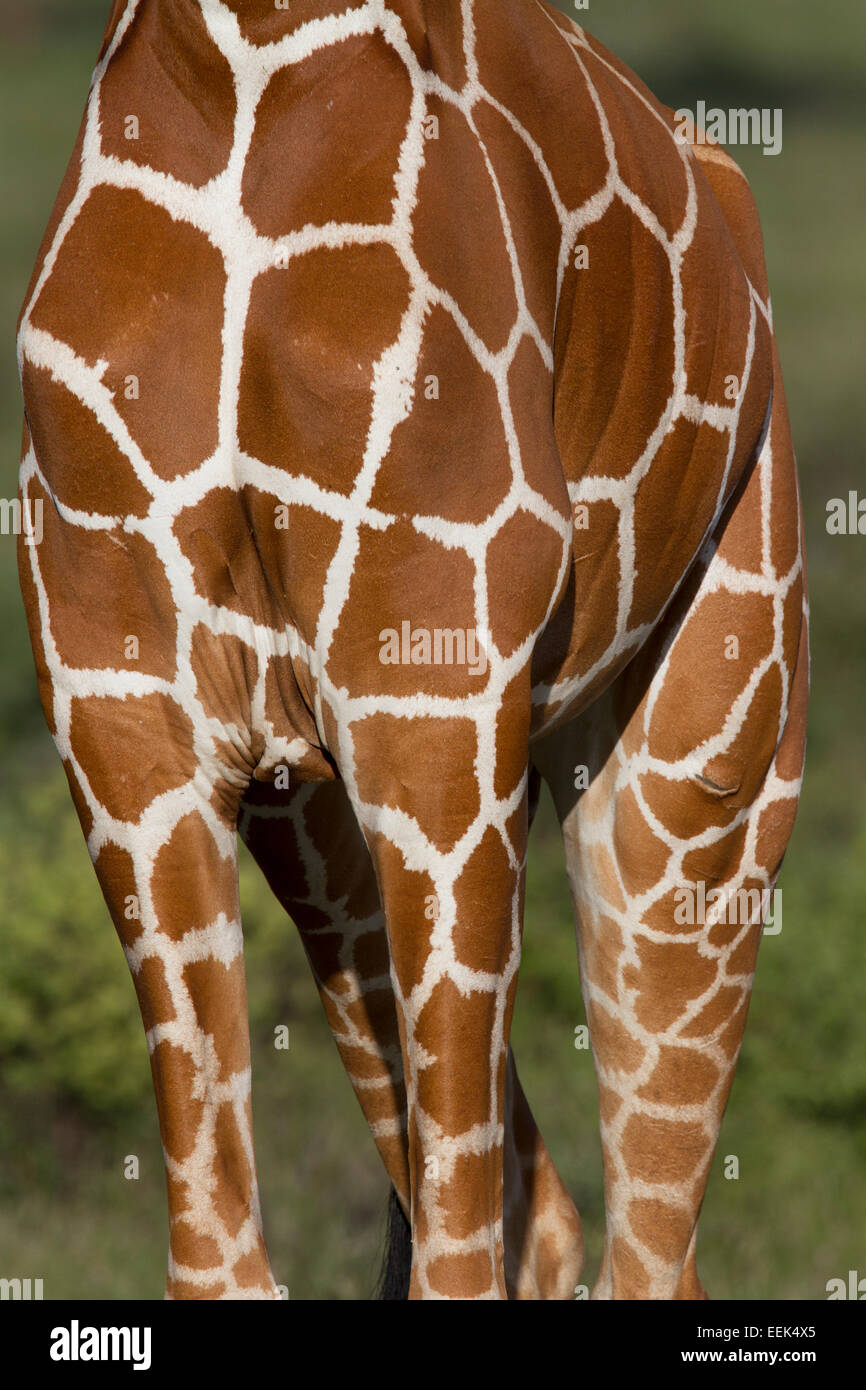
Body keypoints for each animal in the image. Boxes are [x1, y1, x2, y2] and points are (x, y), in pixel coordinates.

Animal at [16, 0, 808, 1301]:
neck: (246, 62)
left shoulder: (435, 691)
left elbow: (457, 1242)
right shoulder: (127, 709)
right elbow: (222, 1257)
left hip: (702, 770)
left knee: (639, 1241)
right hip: (316, 811)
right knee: (541, 1210)